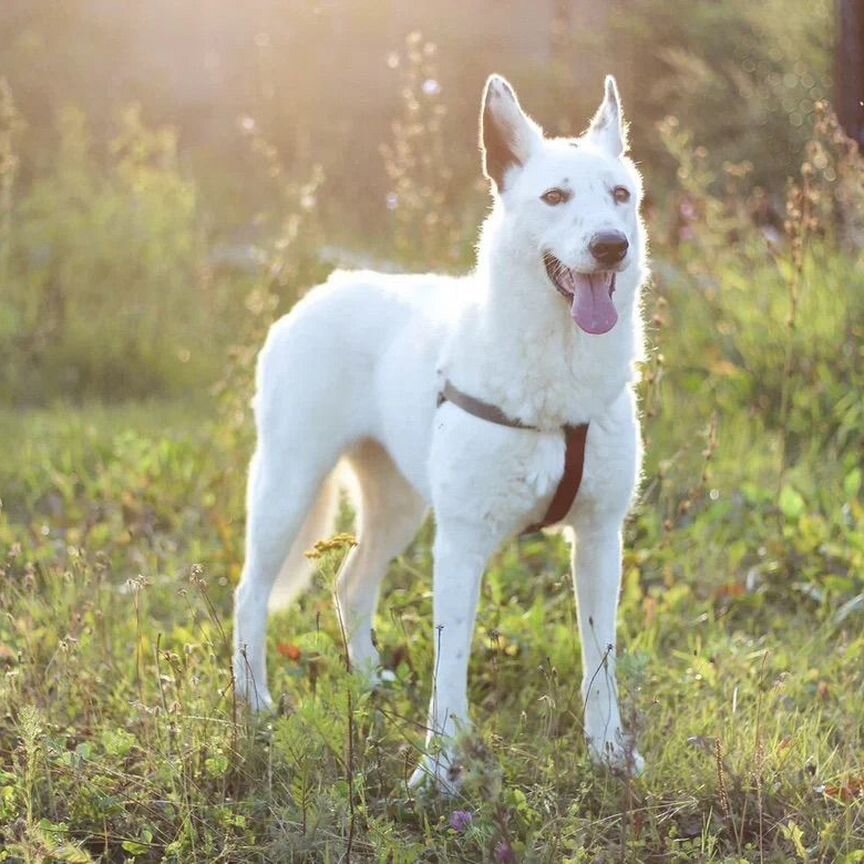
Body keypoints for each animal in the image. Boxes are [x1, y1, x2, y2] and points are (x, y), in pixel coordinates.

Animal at [233, 76, 644, 788]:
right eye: (555, 196)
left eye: (620, 195)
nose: (610, 245)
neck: (556, 370)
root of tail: (323, 288)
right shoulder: (461, 545)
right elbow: (450, 674)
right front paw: (436, 773)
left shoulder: (599, 540)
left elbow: (601, 664)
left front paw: (607, 754)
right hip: (289, 485)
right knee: (250, 594)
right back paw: (254, 703)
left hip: (398, 506)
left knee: (351, 586)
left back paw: (369, 685)